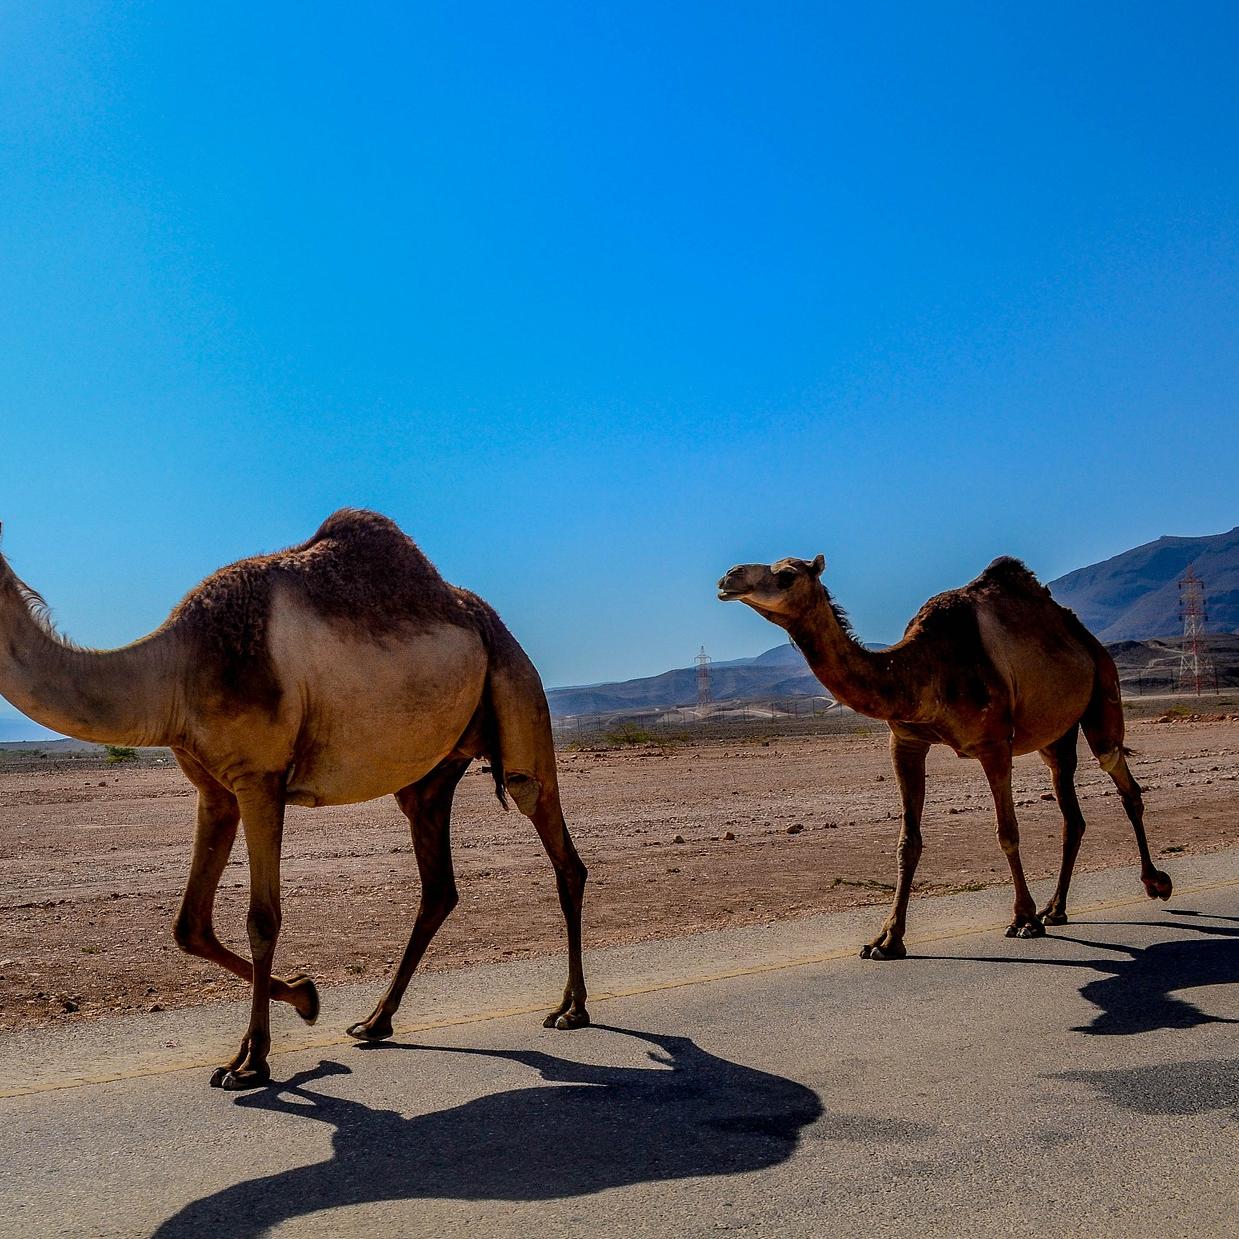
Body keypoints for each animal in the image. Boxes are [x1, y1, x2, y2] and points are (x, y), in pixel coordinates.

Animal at [0, 509, 589, 1089]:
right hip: (431, 774)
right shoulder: (215, 789)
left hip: (517, 690)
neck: (176, 673)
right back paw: (376, 1021)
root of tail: (493, 625)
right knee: (438, 883)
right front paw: (304, 997)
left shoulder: (260, 780)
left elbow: (262, 919)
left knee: (553, 836)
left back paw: (571, 1009)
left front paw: (251, 1061)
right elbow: (189, 924)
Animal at [717, 553, 1173, 958]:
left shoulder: (993, 743)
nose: (729, 576)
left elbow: (1007, 832)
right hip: (1055, 737)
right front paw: (887, 940)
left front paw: (1023, 919)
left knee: (1121, 777)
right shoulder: (905, 741)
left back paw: (1155, 883)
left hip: (1103, 691)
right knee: (1071, 814)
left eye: (787, 575)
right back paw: (1056, 909)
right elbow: (908, 842)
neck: (922, 670)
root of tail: (1086, 639)